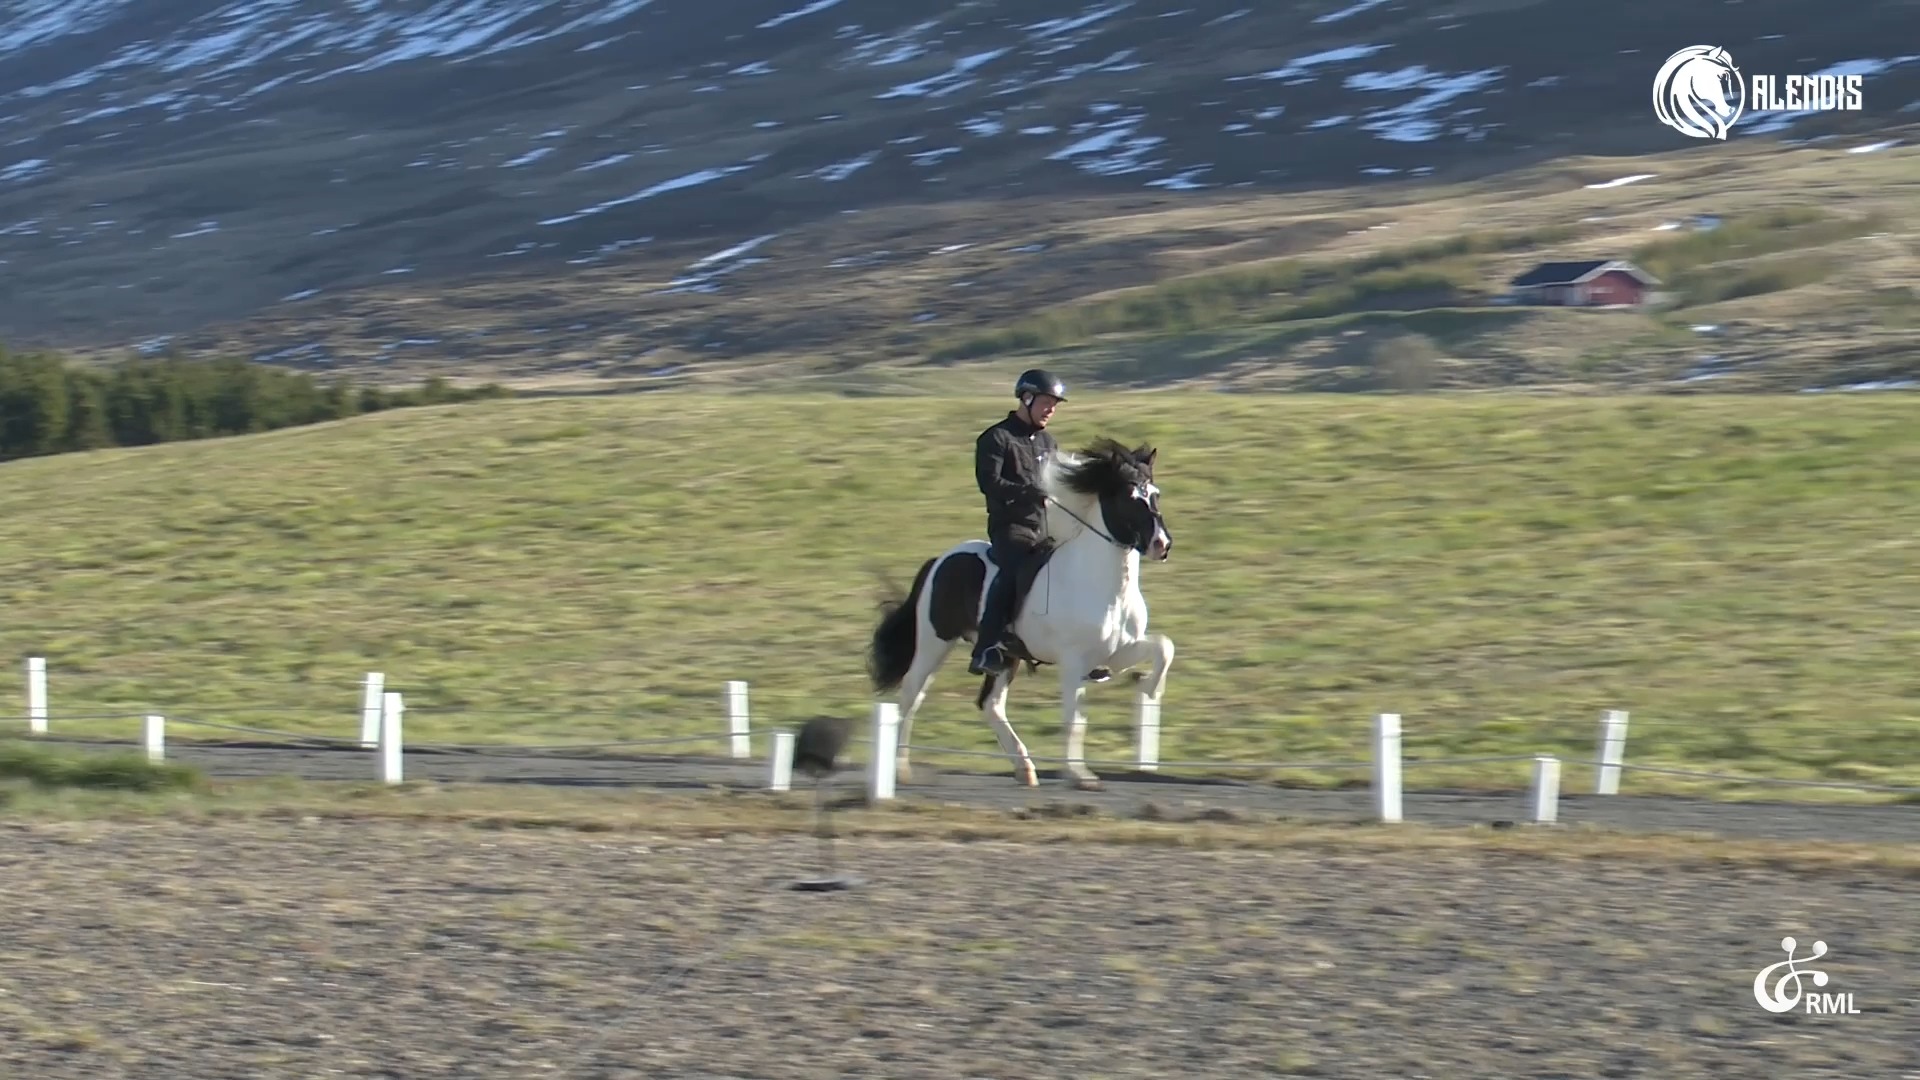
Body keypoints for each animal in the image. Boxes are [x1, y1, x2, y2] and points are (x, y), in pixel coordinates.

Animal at [866, 438, 1174, 790]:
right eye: (1130, 497)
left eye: (1155, 494)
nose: (1162, 545)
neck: (1102, 584)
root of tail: (940, 560)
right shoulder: (1073, 661)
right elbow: (1074, 720)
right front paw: (1078, 775)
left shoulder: (1117, 653)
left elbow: (1164, 647)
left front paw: (1149, 687)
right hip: (935, 643)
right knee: (911, 697)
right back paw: (901, 768)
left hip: (1004, 656)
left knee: (990, 705)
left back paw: (1024, 768)